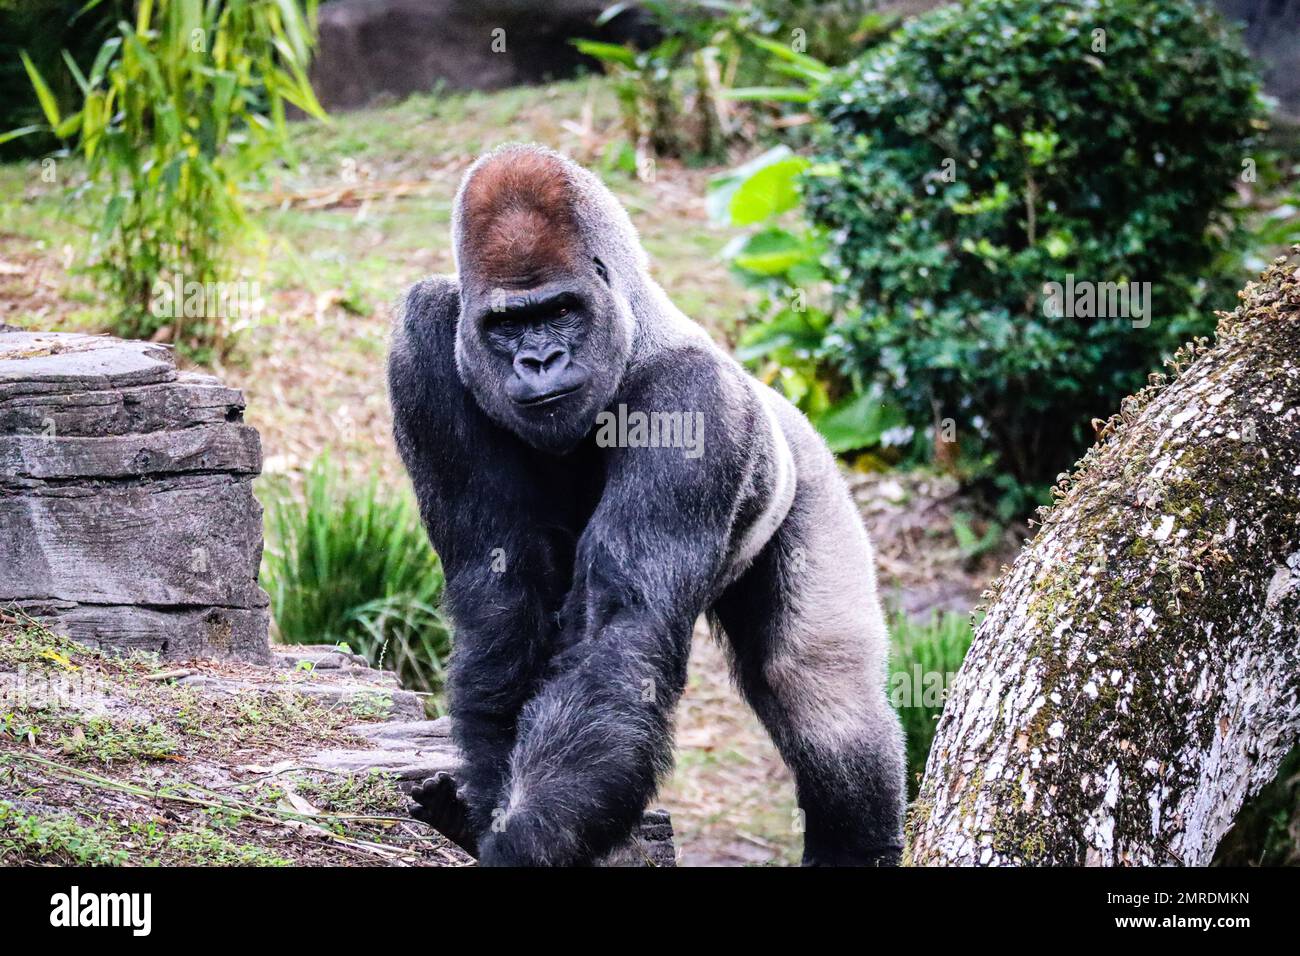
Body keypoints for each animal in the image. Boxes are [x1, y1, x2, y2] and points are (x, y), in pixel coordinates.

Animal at [388, 143, 905, 866]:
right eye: (507, 324)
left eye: (560, 310)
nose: (539, 360)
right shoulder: (425, 342)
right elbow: (501, 592)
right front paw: (483, 809)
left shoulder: (696, 397)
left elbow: (622, 629)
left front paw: (522, 840)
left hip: (811, 475)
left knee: (820, 691)